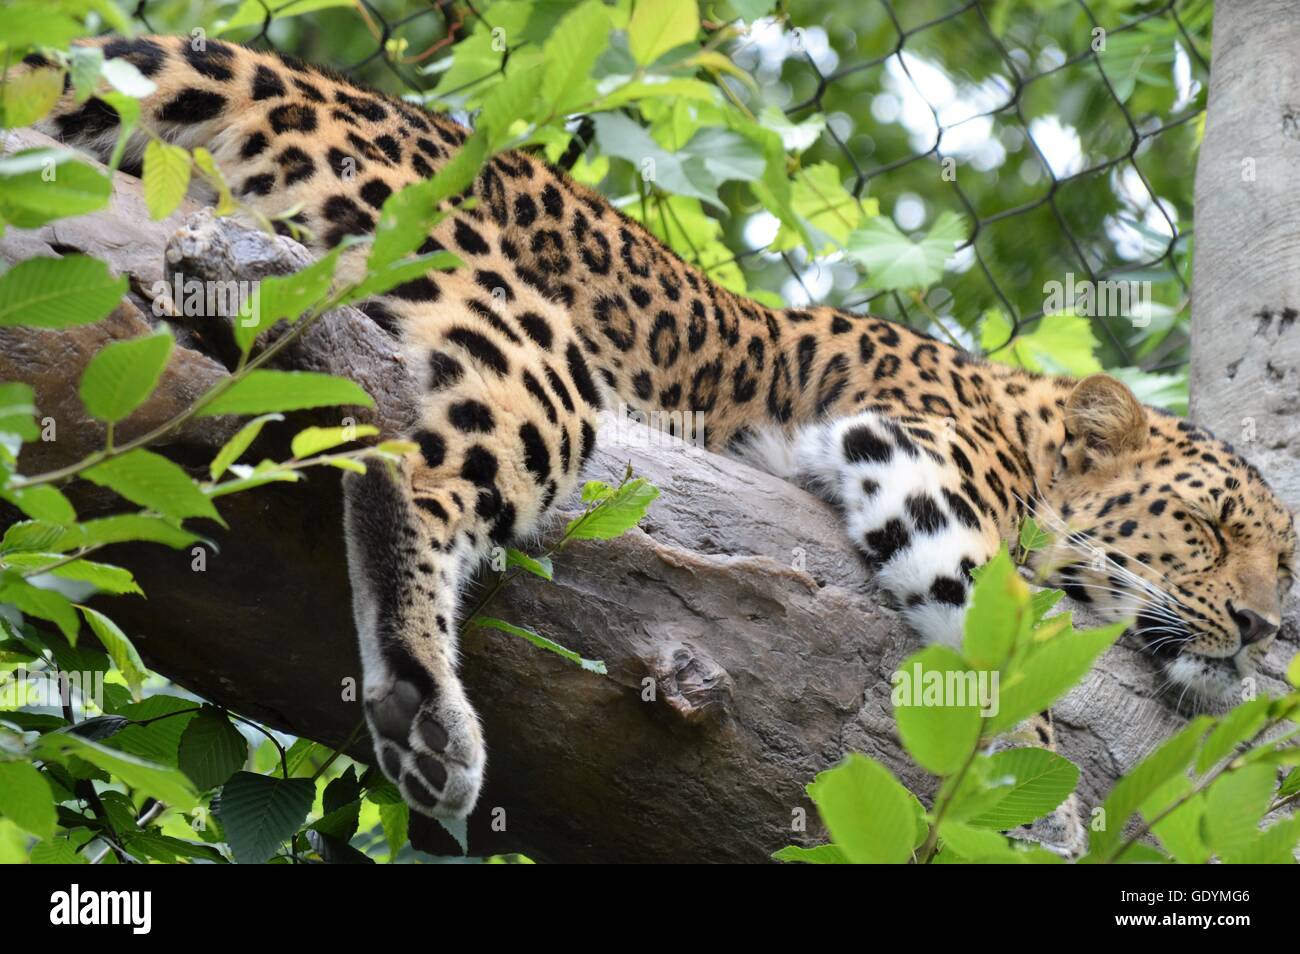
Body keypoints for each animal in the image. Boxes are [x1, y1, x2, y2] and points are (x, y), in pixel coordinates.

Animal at [25, 36, 1296, 842]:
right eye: (1204, 527)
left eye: (1282, 563)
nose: (1262, 627)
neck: (1014, 422)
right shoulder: (917, 448)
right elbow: (995, 618)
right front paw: (1029, 787)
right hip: (521, 335)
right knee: (411, 473)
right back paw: (425, 707)